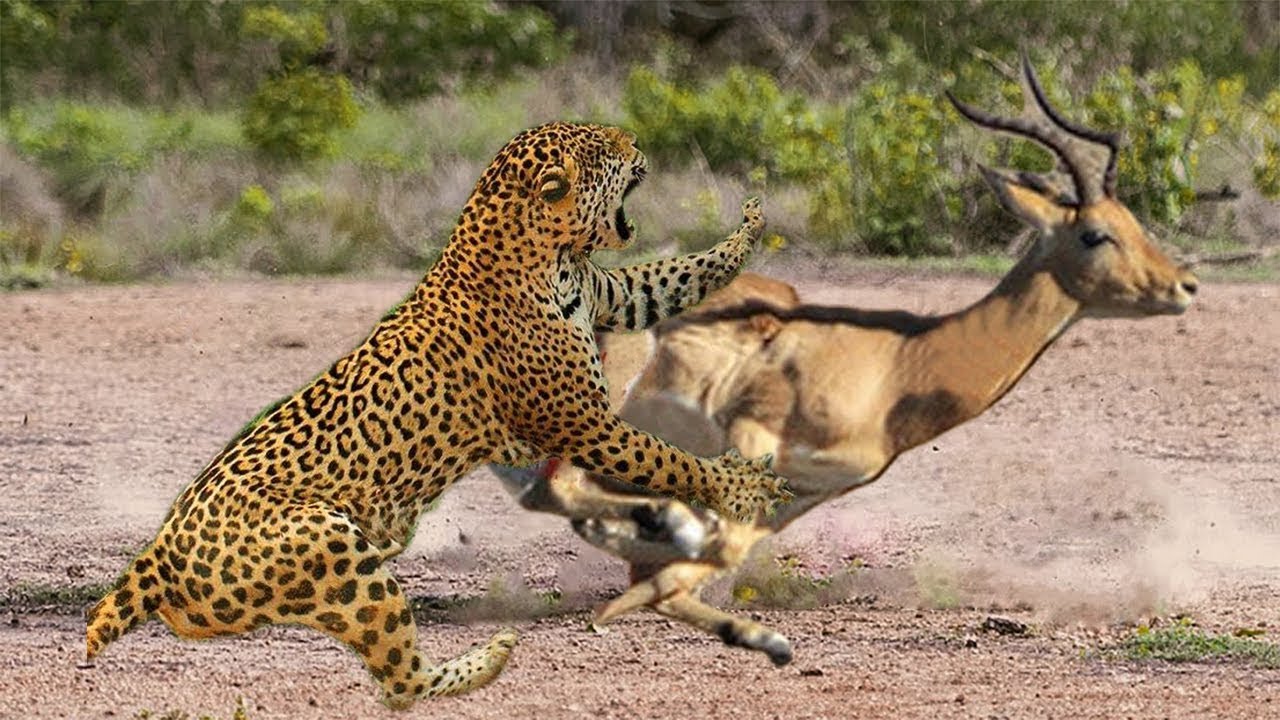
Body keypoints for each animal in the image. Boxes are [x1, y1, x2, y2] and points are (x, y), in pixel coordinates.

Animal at [83, 122, 789, 709]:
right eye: (601, 149)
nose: (636, 141)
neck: (552, 258)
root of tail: (158, 553)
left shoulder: (613, 294)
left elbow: (677, 274)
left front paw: (751, 224)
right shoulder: (580, 421)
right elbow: (666, 458)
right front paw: (741, 486)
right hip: (335, 549)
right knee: (399, 682)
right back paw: (491, 659)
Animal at [534, 55, 1201, 664]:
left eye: (1130, 220)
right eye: (1094, 233)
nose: (1184, 286)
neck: (899, 367)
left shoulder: (806, 491)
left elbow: (704, 556)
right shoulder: (752, 435)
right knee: (559, 484)